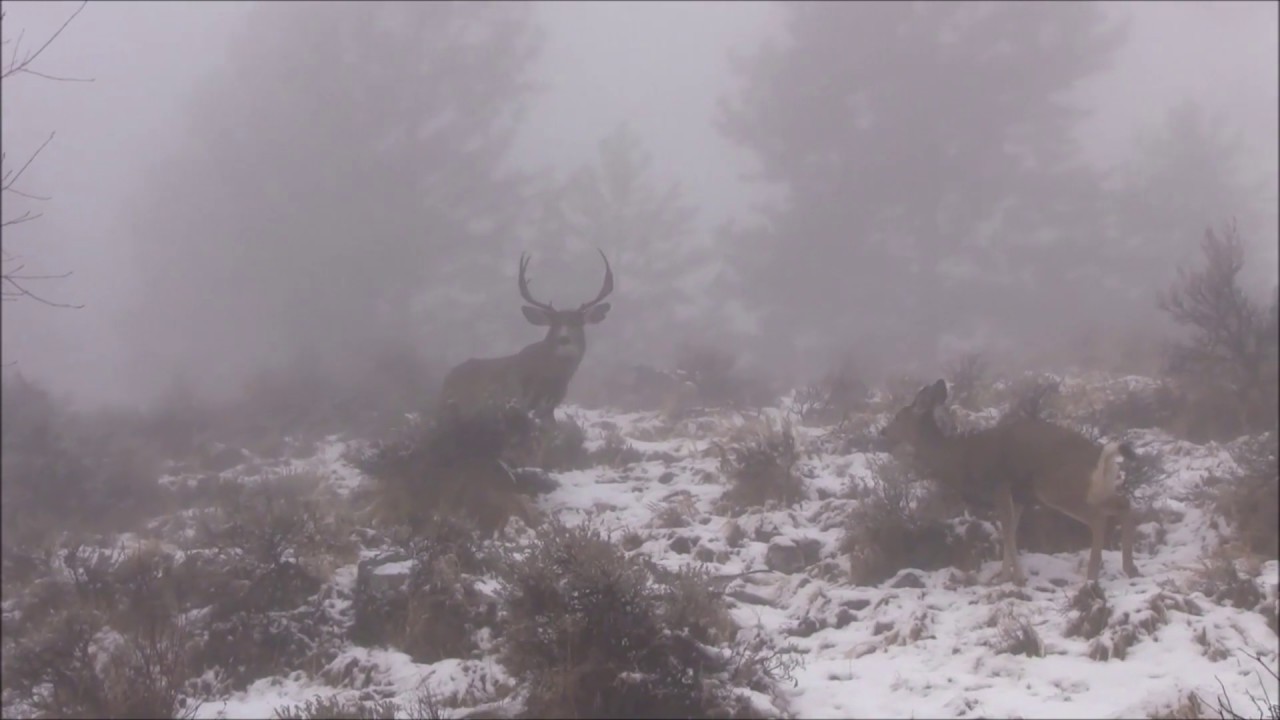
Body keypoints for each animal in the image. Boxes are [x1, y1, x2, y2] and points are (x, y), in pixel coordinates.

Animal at [437, 249, 614, 426]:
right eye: (554, 324)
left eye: (578, 323)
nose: (564, 339)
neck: (552, 378)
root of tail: (446, 379)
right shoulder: (517, 394)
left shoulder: (551, 407)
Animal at [879, 379, 1140, 585]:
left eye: (898, 417)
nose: (883, 432)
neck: (956, 457)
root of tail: (1099, 456)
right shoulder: (1020, 496)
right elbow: (1011, 530)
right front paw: (1006, 577)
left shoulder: (1000, 485)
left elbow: (1006, 531)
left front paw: (1017, 578)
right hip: (1092, 489)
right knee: (1124, 504)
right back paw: (1130, 568)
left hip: (1056, 487)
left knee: (1097, 518)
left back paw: (1092, 575)